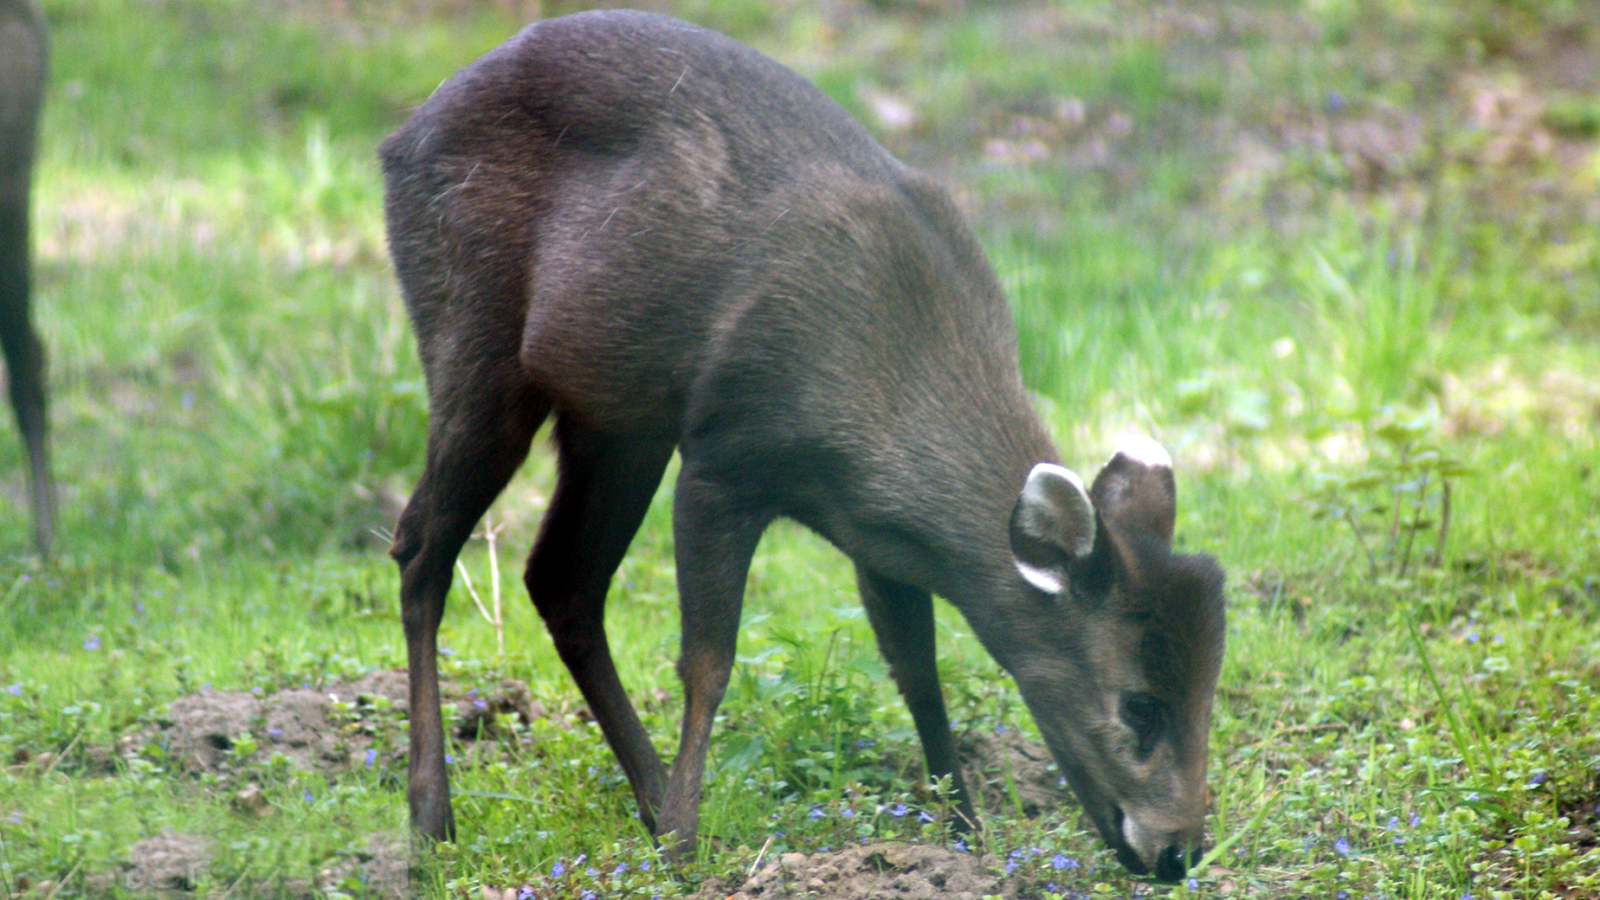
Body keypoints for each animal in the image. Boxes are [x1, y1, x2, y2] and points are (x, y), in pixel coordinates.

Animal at [380, 10, 1224, 881]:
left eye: (1210, 691)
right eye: (1139, 703)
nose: (1179, 850)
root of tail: (400, 137)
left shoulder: (875, 531)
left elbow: (917, 668)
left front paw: (965, 833)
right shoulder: (722, 456)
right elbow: (709, 661)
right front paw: (685, 845)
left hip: (620, 420)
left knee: (560, 578)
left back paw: (642, 798)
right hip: (472, 333)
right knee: (422, 547)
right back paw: (434, 821)